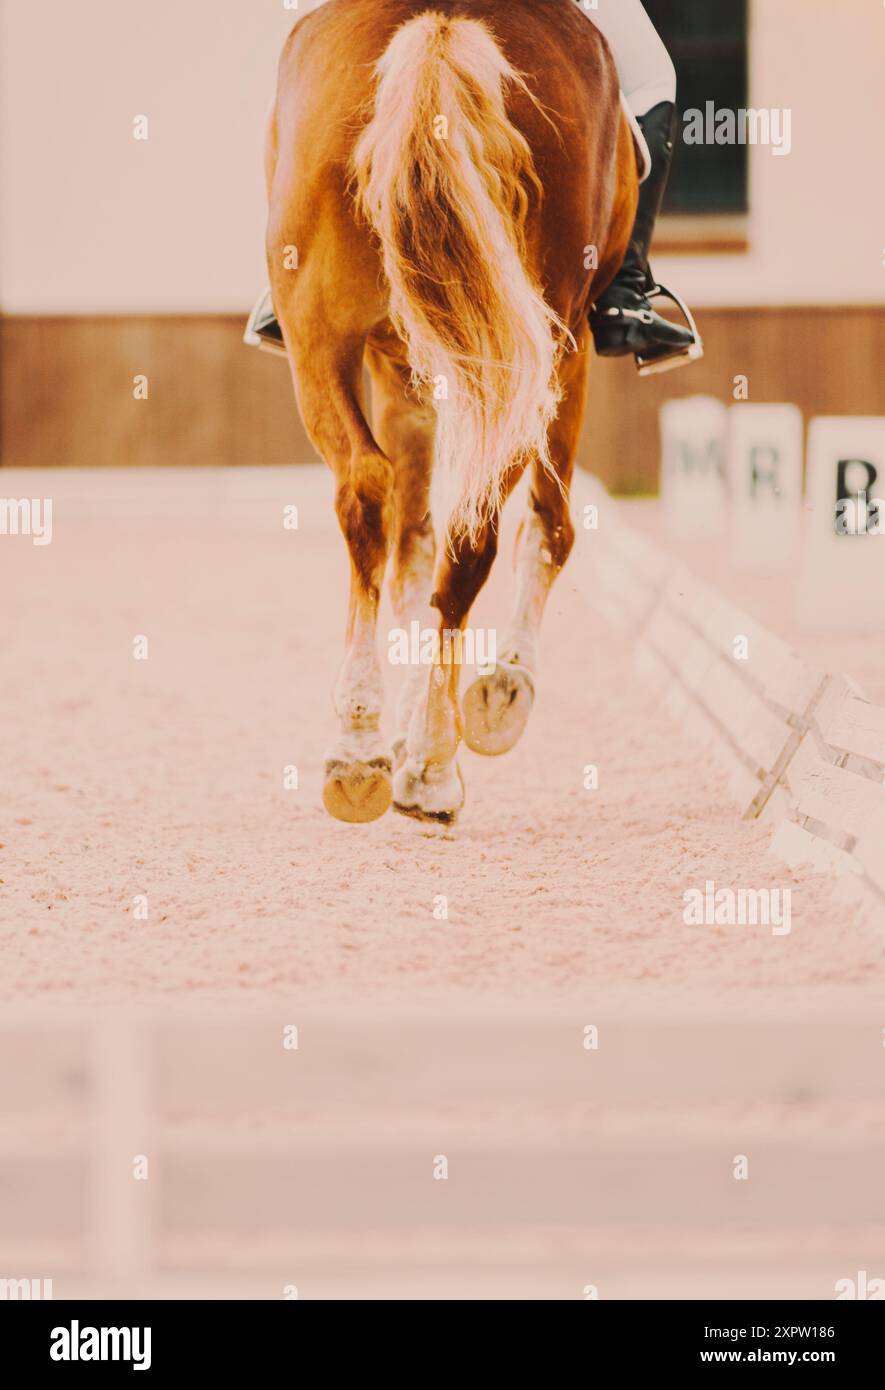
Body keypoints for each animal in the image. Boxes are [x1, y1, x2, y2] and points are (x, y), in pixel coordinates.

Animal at [264, 0, 638, 824]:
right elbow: (546, 527)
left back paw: (365, 751)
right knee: (465, 530)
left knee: (371, 495)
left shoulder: (404, 362)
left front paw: (406, 725)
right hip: (538, 354)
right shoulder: (553, 354)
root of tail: (438, 26)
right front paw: (503, 691)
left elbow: (413, 547)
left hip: (324, 341)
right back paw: (427, 759)